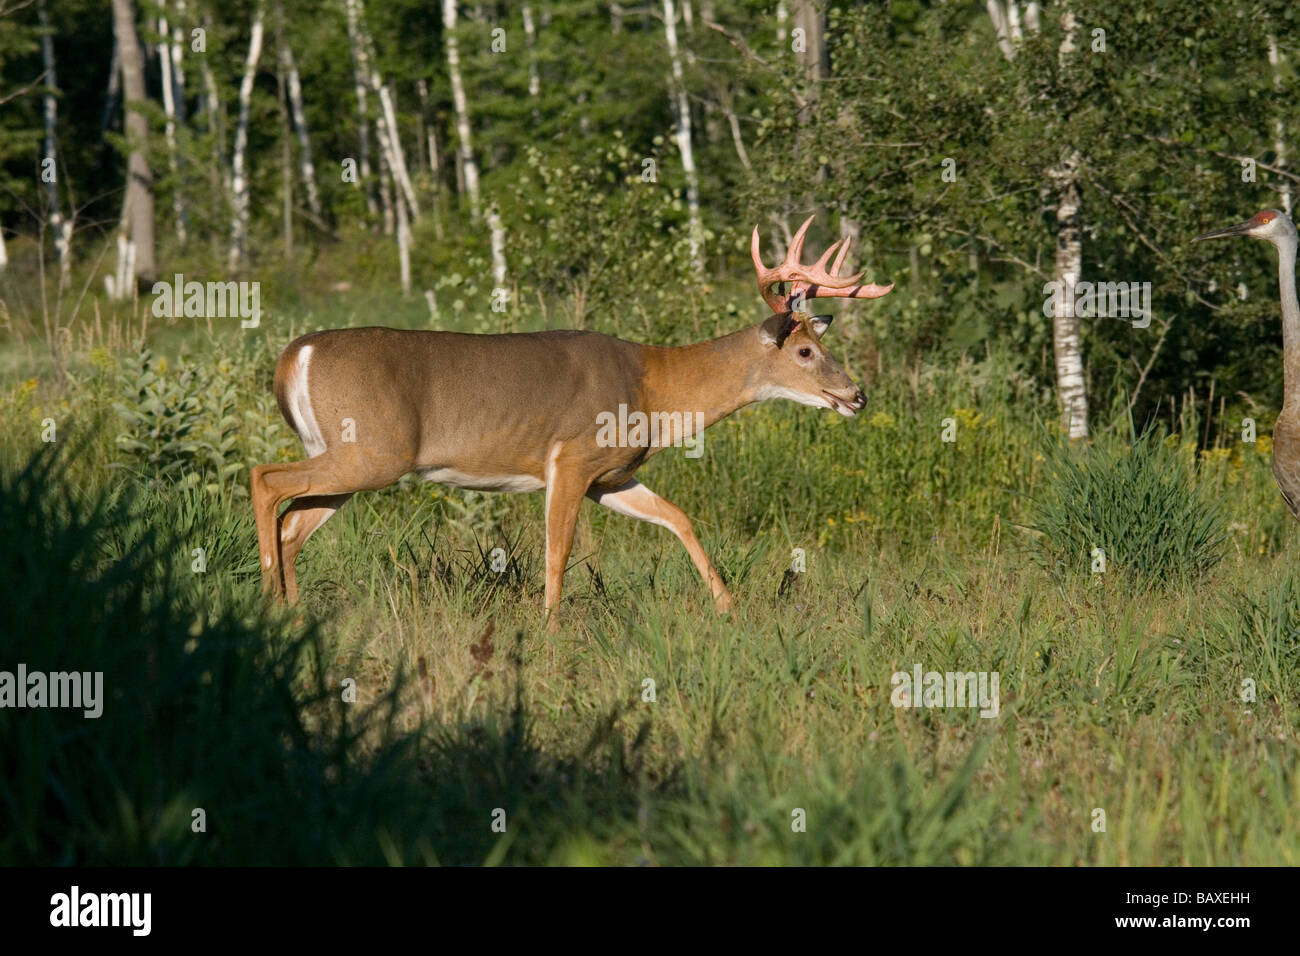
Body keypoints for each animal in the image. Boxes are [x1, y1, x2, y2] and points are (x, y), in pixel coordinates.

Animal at [251, 215, 892, 629]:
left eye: (821, 344)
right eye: (804, 352)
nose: (857, 396)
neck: (656, 390)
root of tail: (294, 355)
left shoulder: (612, 476)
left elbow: (679, 518)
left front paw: (728, 608)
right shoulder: (572, 459)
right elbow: (557, 550)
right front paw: (550, 629)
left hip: (350, 459)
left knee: (293, 523)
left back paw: (289, 609)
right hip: (373, 450)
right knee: (265, 480)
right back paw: (266, 594)